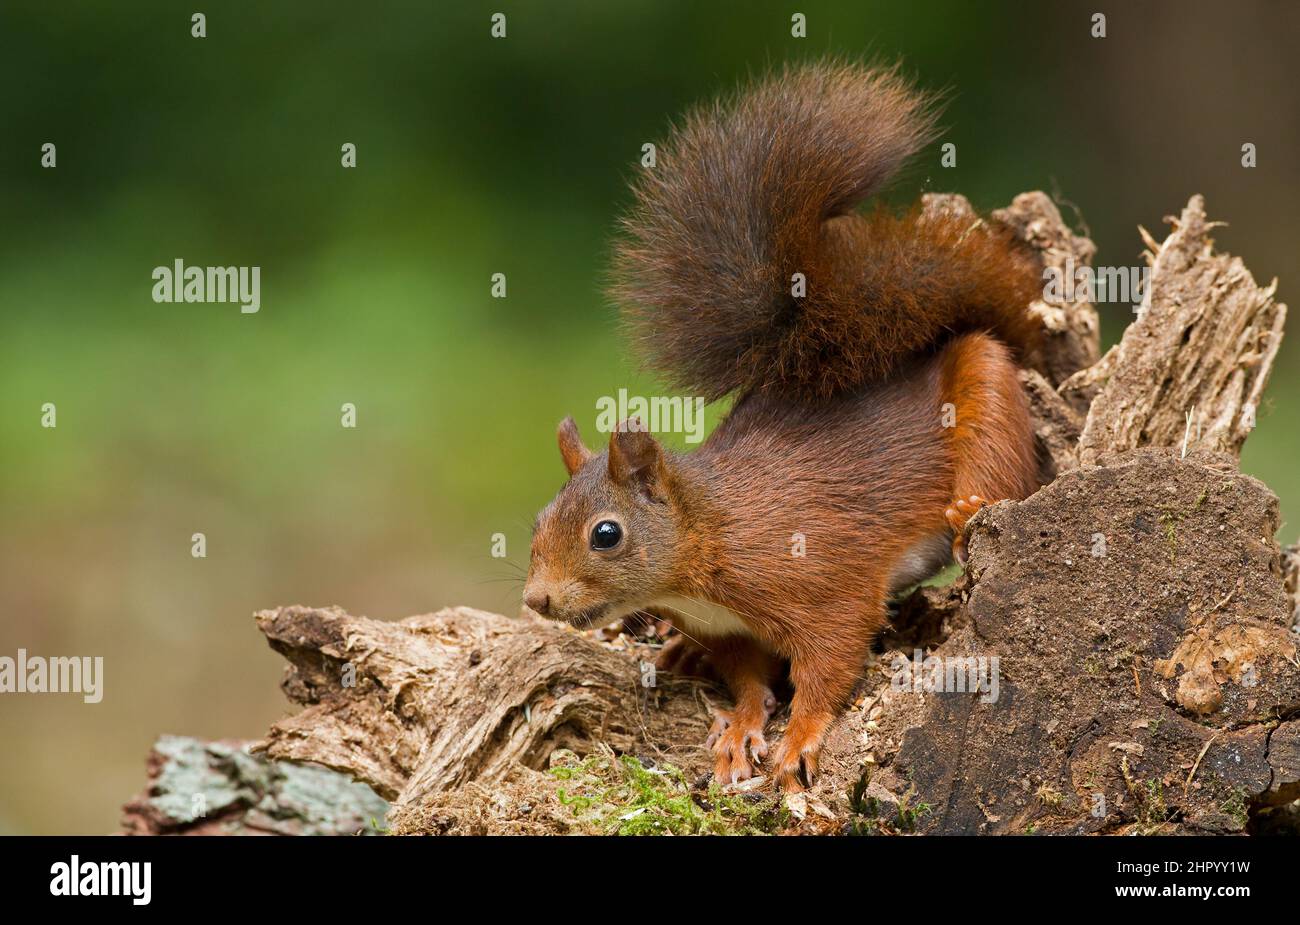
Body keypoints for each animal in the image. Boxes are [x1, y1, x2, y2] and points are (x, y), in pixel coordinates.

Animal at [523, 62, 1044, 792]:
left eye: (607, 534)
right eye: (538, 521)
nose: (536, 600)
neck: (707, 539)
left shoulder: (821, 582)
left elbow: (829, 662)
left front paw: (799, 737)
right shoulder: (733, 630)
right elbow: (748, 679)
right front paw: (741, 728)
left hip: (988, 391)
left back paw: (972, 504)